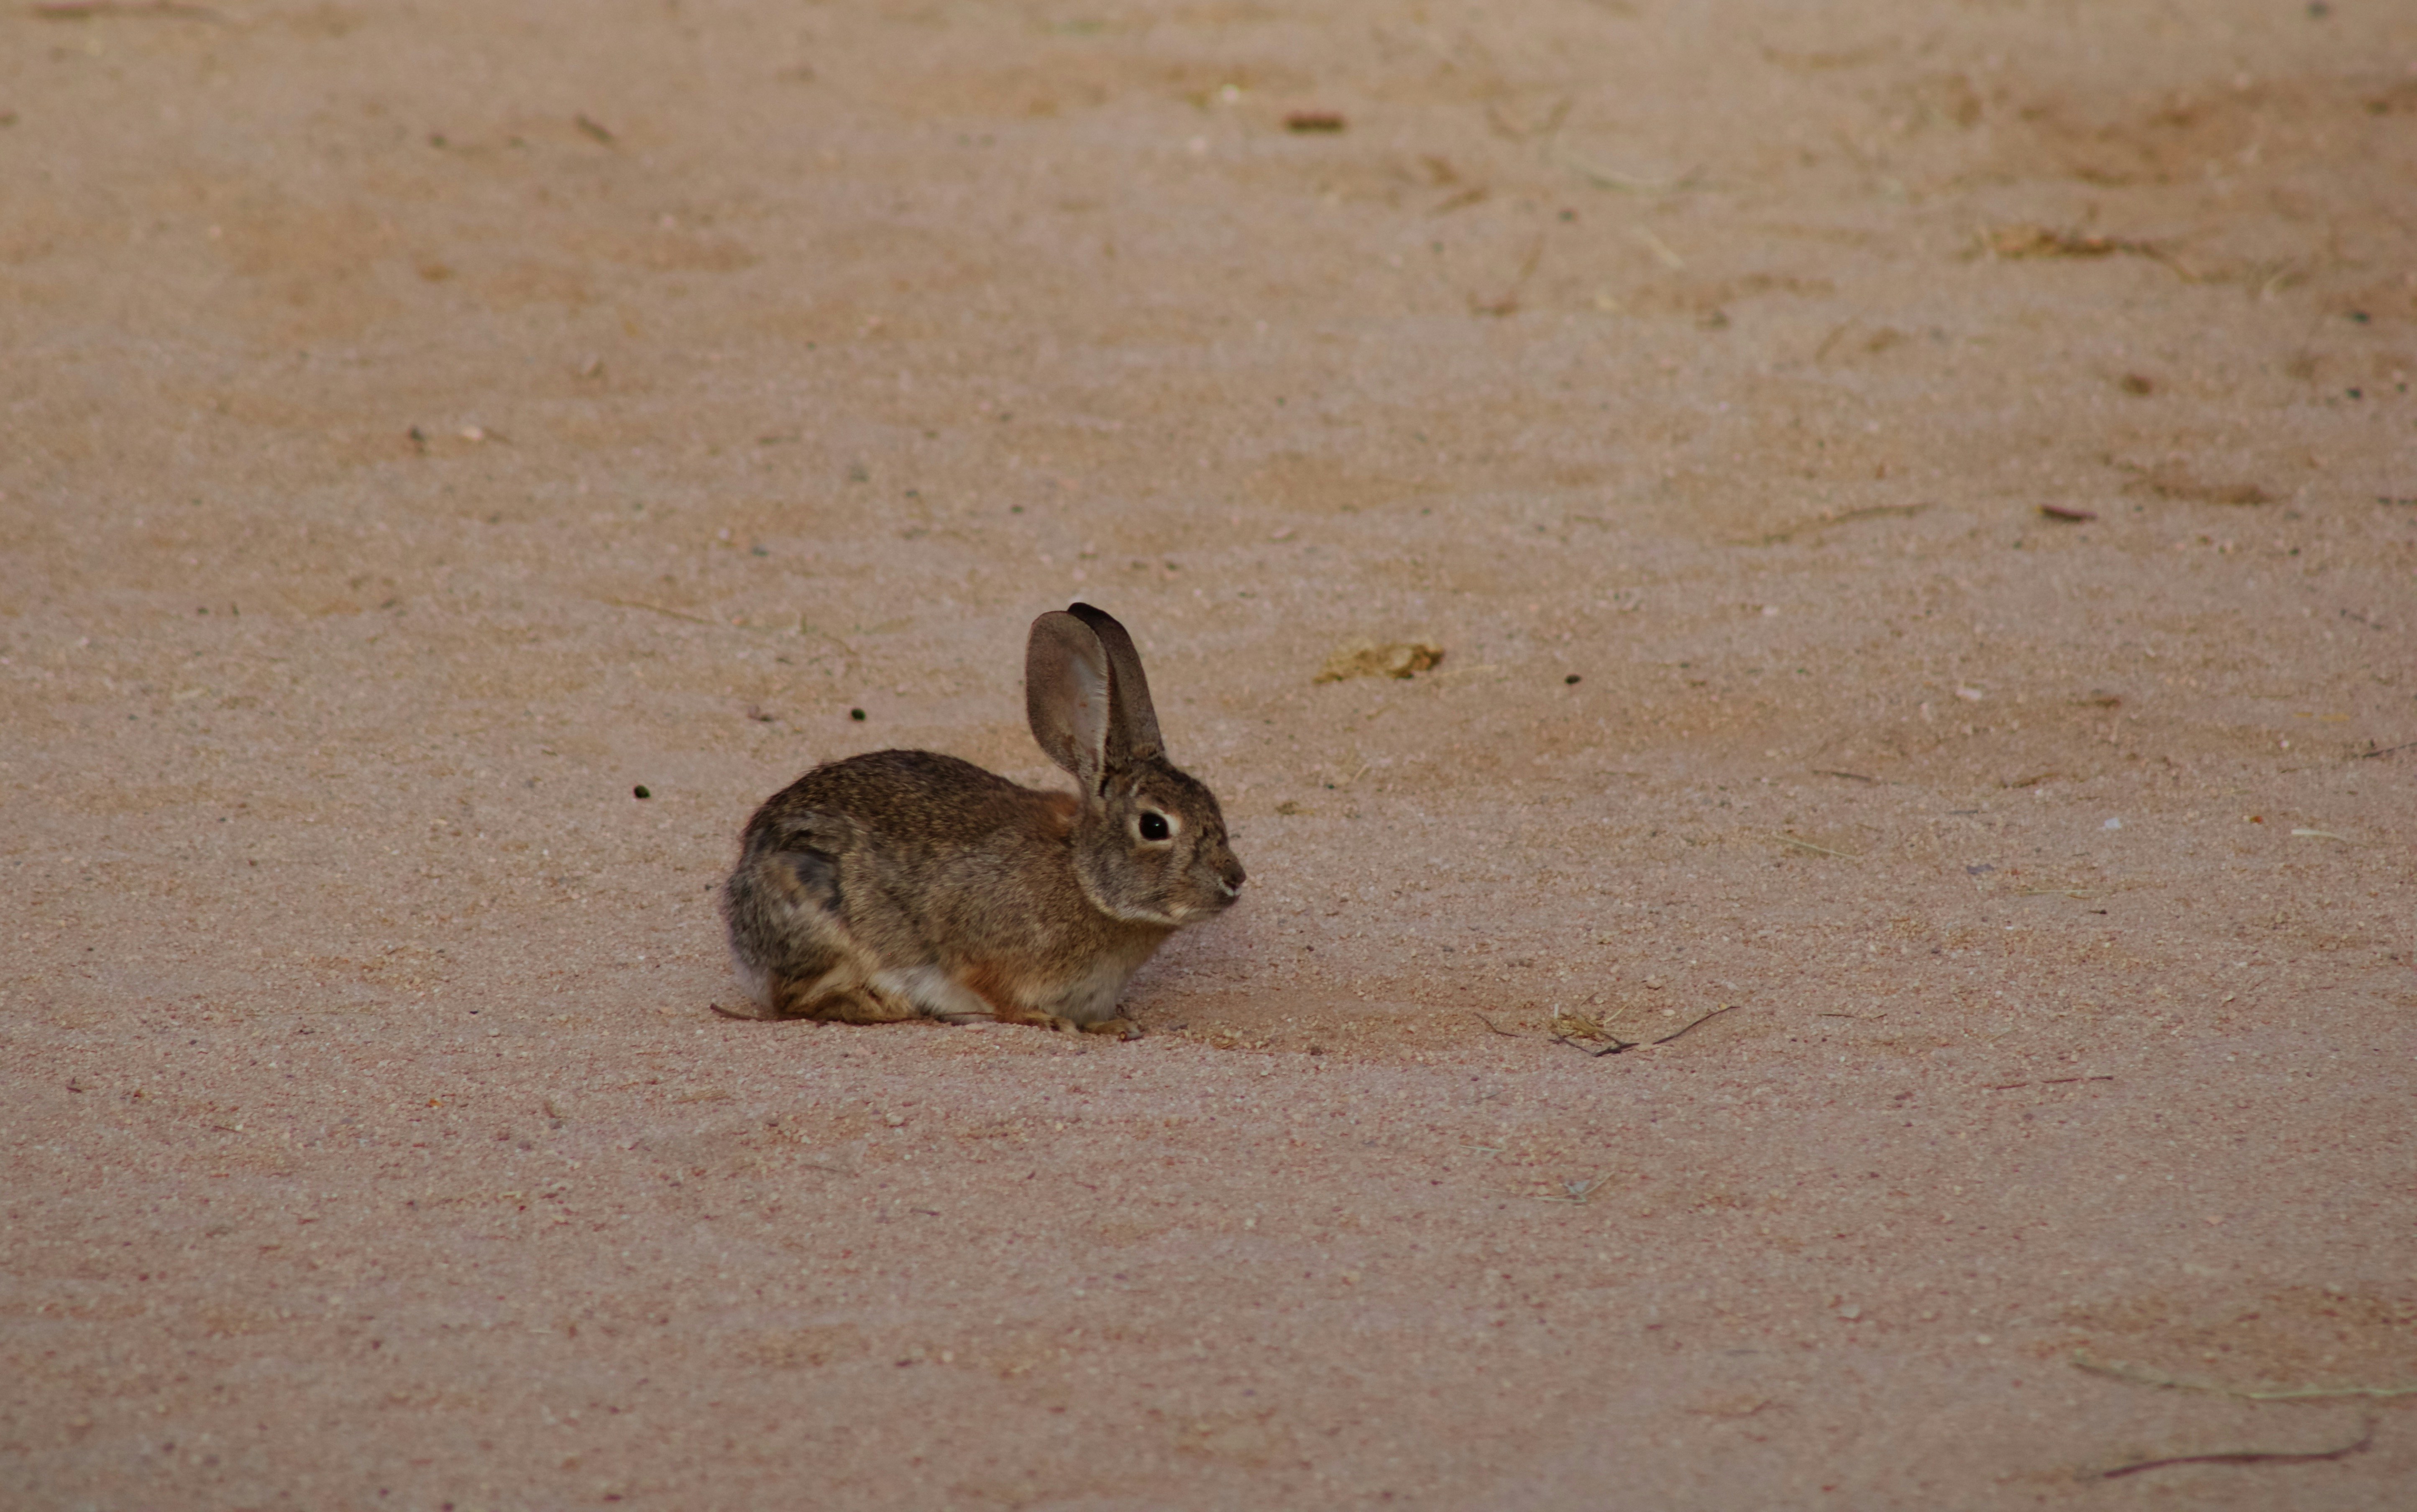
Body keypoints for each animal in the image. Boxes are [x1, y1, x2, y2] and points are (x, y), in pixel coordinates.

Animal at [718, 603, 1246, 1038]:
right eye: (1154, 826)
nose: (1235, 879)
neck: (1081, 877)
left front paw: (1111, 1026)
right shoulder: (980, 950)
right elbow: (996, 992)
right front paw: (1045, 1020)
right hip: (819, 918)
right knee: (792, 1000)